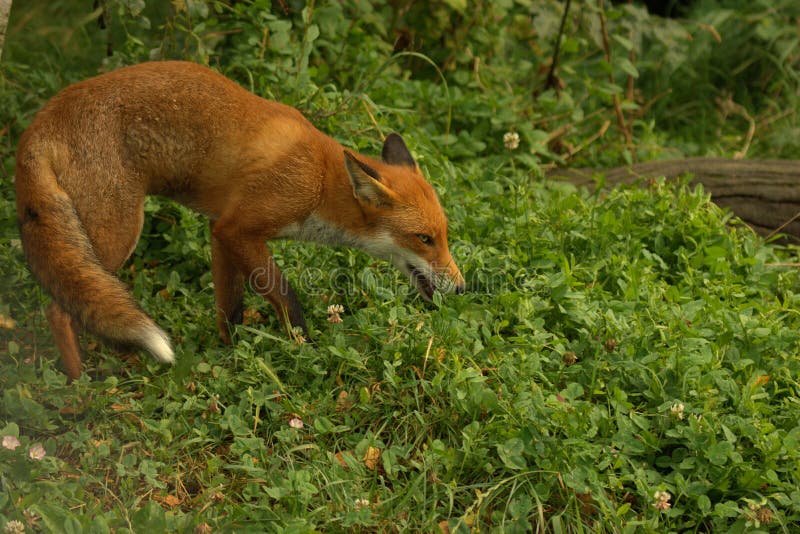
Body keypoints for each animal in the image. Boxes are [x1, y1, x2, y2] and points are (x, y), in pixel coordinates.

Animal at [15, 61, 465, 381]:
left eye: (444, 236)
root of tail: (37, 125)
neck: (320, 180)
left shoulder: (220, 231)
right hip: (116, 234)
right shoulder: (240, 228)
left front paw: (230, 355)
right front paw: (304, 348)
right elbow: (284, 294)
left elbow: (228, 306)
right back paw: (81, 388)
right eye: (424, 238)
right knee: (58, 310)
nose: (461, 288)